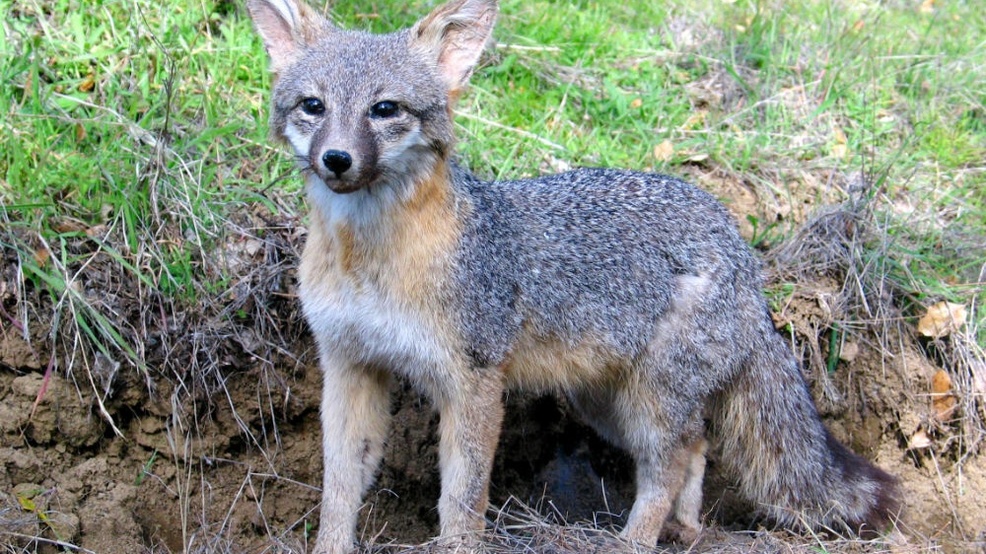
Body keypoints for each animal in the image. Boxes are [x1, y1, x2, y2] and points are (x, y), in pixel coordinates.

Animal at [246, 0, 901, 552]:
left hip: (647, 402)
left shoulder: (474, 382)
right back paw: (686, 528)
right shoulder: (349, 366)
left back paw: (635, 541)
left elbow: (461, 504)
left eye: (384, 109)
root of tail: (739, 244)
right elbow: (338, 491)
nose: (336, 159)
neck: (368, 261)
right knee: (696, 444)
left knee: (668, 465)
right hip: (606, 404)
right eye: (313, 106)